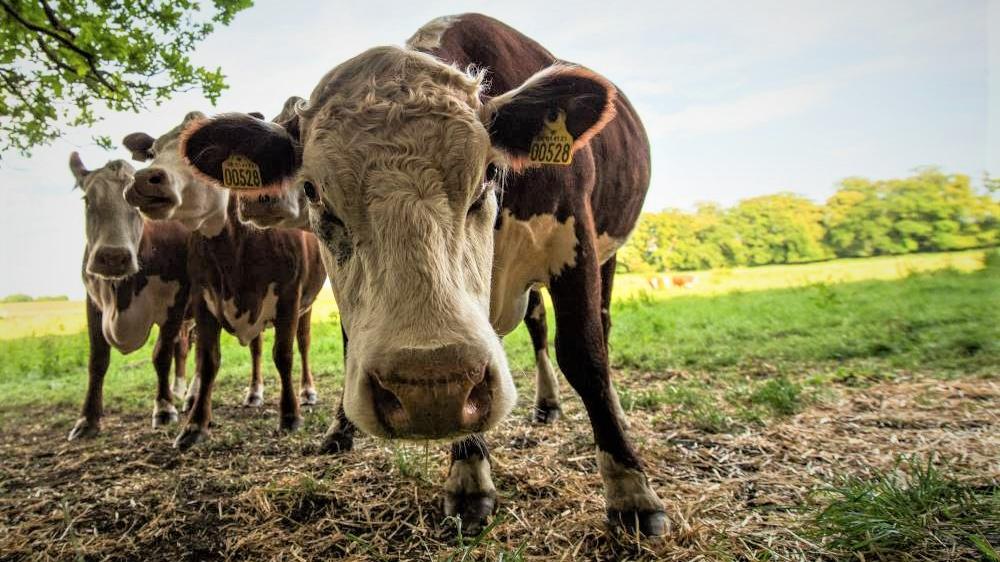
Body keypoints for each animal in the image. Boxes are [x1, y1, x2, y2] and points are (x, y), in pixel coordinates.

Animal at [68, 153, 192, 439]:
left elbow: (161, 355)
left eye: (138, 206)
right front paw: (87, 420)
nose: (113, 256)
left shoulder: (177, 302)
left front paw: (164, 408)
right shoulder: (93, 303)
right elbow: (97, 360)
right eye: (87, 200)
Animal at [121, 112, 328, 448]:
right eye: (152, 152)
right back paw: (254, 393)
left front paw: (290, 415)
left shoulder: (289, 294)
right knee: (256, 348)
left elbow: (283, 354)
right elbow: (208, 361)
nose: (144, 179)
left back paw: (307, 391)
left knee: (303, 343)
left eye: (199, 155)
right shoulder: (203, 297)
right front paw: (194, 426)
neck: (234, 248)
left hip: (306, 306)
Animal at [178, 14, 666, 535]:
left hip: (608, 252)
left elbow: (585, 356)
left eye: (490, 173)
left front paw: (631, 491)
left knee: (598, 329)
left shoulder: (576, 244)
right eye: (311, 190)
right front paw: (469, 476)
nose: (430, 389)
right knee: (536, 324)